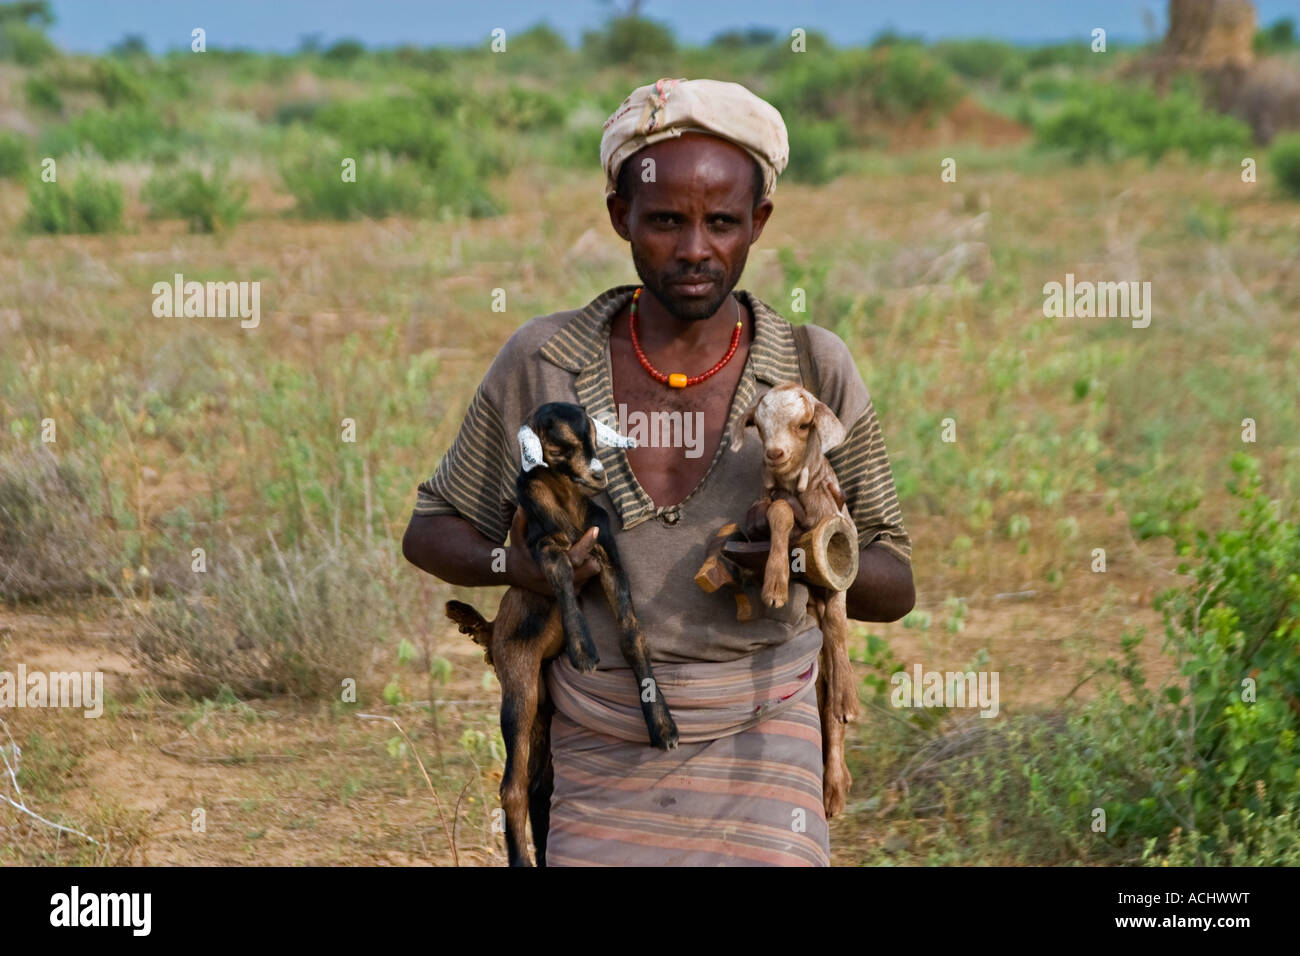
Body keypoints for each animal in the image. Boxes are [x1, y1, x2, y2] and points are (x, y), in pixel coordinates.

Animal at [445, 401, 679, 866]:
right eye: (561, 446)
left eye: (593, 437)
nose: (599, 475)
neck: (568, 505)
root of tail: (491, 630)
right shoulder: (546, 550)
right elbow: (566, 586)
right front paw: (584, 649)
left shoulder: (606, 553)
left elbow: (631, 633)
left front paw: (661, 724)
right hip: (518, 687)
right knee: (511, 788)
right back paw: (520, 859)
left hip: (543, 703)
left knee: (539, 785)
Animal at [730, 383, 859, 817]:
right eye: (758, 424)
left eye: (804, 425)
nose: (775, 453)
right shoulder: (768, 505)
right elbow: (780, 514)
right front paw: (775, 585)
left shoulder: (834, 526)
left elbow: (838, 628)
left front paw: (847, 699)